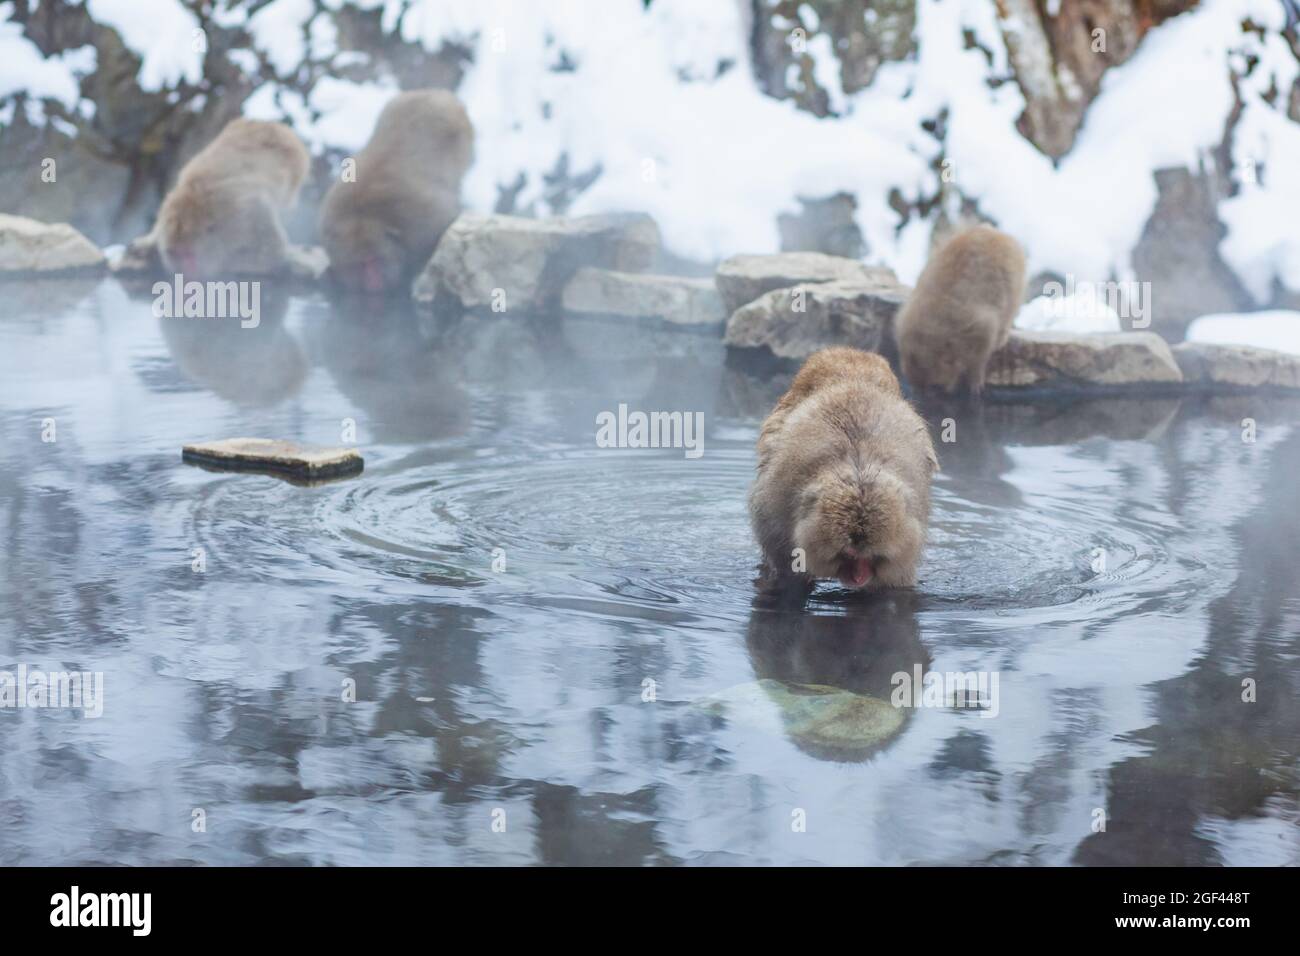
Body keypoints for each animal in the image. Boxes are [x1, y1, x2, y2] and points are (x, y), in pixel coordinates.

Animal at [155, 119, 309, 278]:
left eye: (188, 255)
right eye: (176, 255)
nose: (185, 272)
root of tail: (262, 123)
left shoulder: (238, 216)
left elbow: (273, 251)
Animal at [319, 90, 474, 294]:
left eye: (376, 261)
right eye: (361, 265)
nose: (372, 282)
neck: (364, 214)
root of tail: (430, 93)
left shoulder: (423, 223)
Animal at [749, 347, 938, 592]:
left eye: (872, 556)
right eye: (847, 555)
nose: (858, 577)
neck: (859, 470)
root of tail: (849, 354)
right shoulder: (777, 516)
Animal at [893, 225, 1026, 394]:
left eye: (933, 388)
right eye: (916, 387)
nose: (921, 396)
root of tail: (994, 231)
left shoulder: (979, 329)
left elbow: (979, 356)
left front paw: (975, 378)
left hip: (1016, 283)